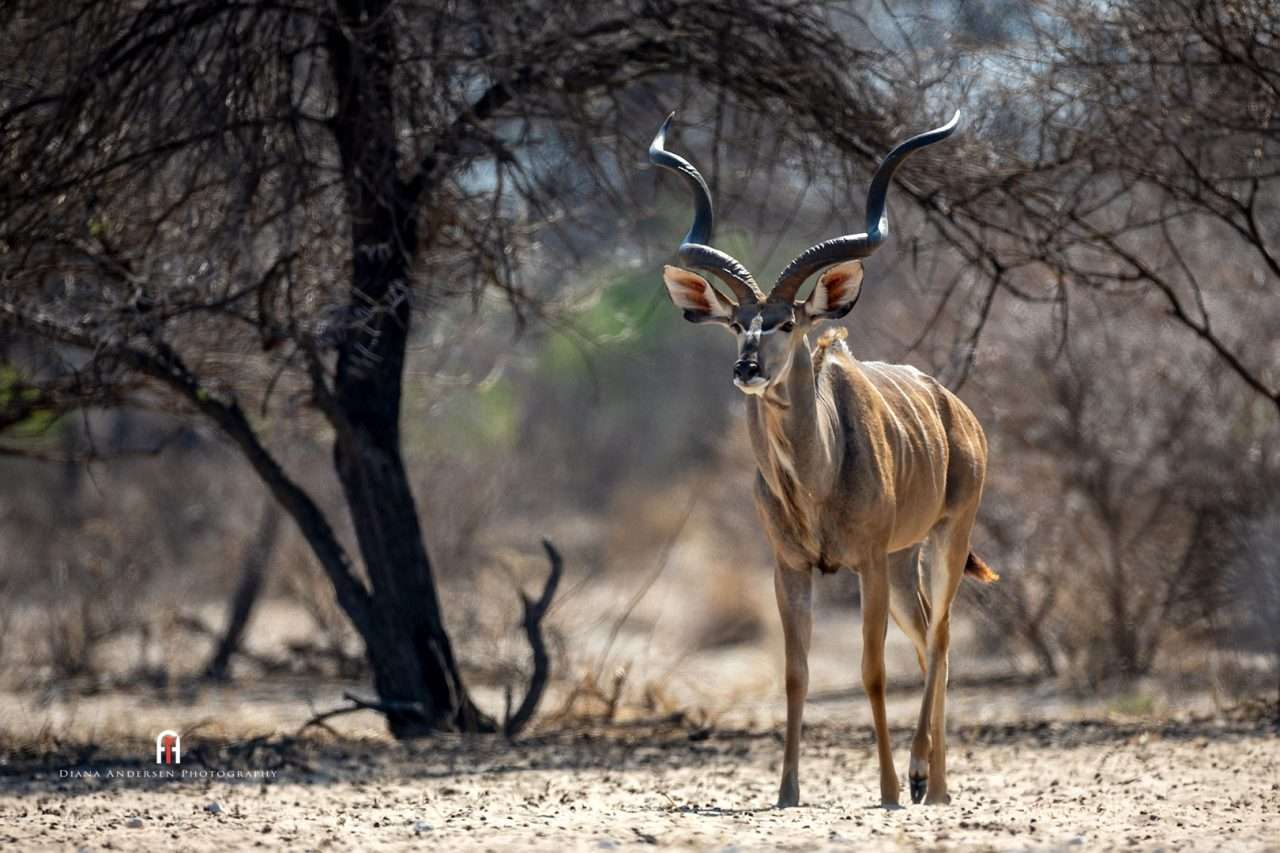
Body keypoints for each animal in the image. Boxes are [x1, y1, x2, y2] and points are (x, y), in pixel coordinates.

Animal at [649, 111, 997, 808]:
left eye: (789, 321)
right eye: (739, 324)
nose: (747, 369)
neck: (816, 480)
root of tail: (959, 413)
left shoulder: (864, 563)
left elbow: (871, 670)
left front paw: (888, 789)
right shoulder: (791, 567)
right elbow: (796, 673)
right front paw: (788, 791)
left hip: (944, 538)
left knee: (942, 638)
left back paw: (928, 782)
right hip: (902, 563)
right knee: (930, 642)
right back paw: (930, 777)